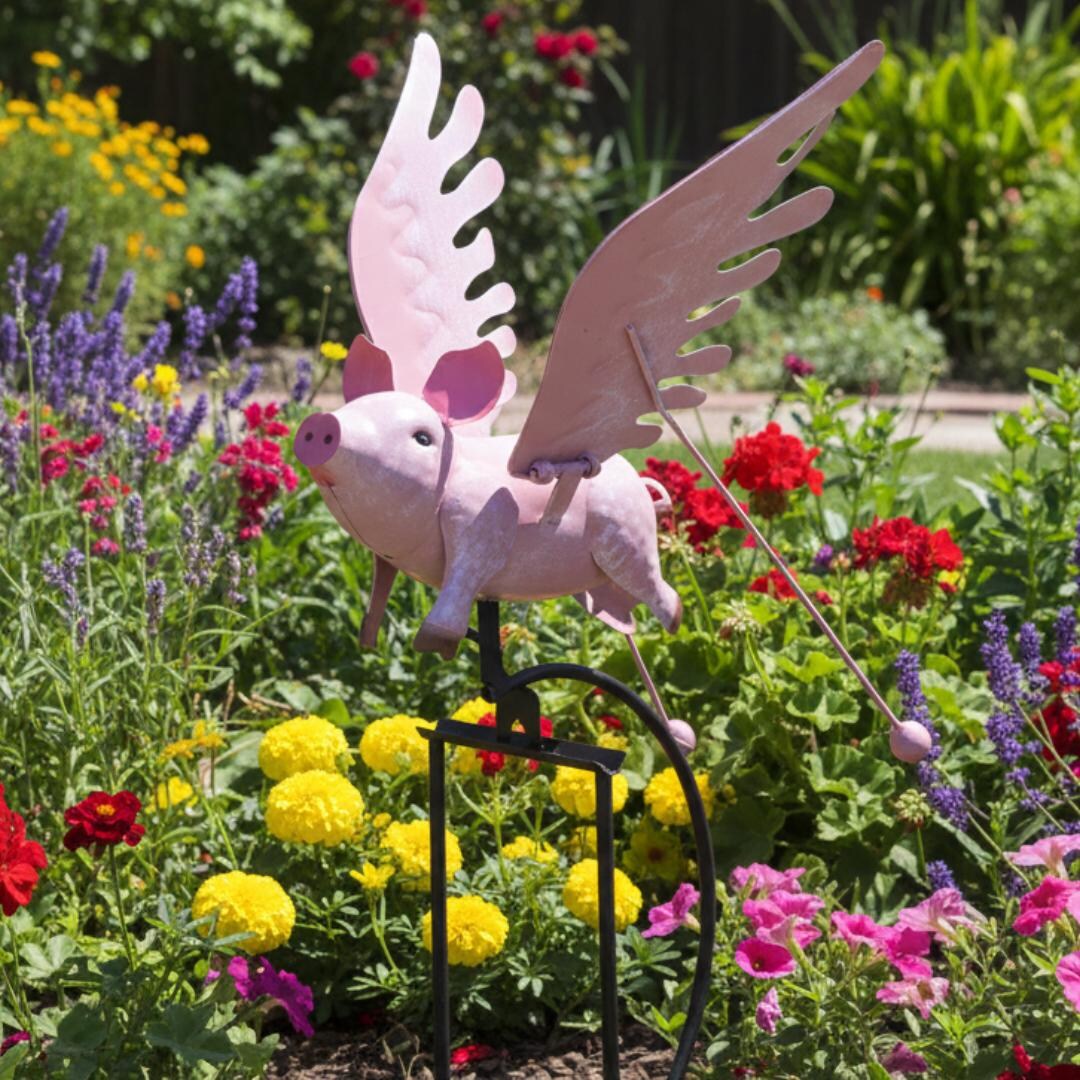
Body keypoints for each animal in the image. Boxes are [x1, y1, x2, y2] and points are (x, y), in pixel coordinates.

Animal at [293, 335, 681, 660]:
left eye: (423, 438)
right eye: (349, 412)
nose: (323, 423)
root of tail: (641, 486)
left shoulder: (482, 518)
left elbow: (464, 576)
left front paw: (432, 644)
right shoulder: (383, 557)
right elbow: (380, 589)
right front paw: (367, 640)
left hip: (627, 539)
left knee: (657, 587)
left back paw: (674, 621)